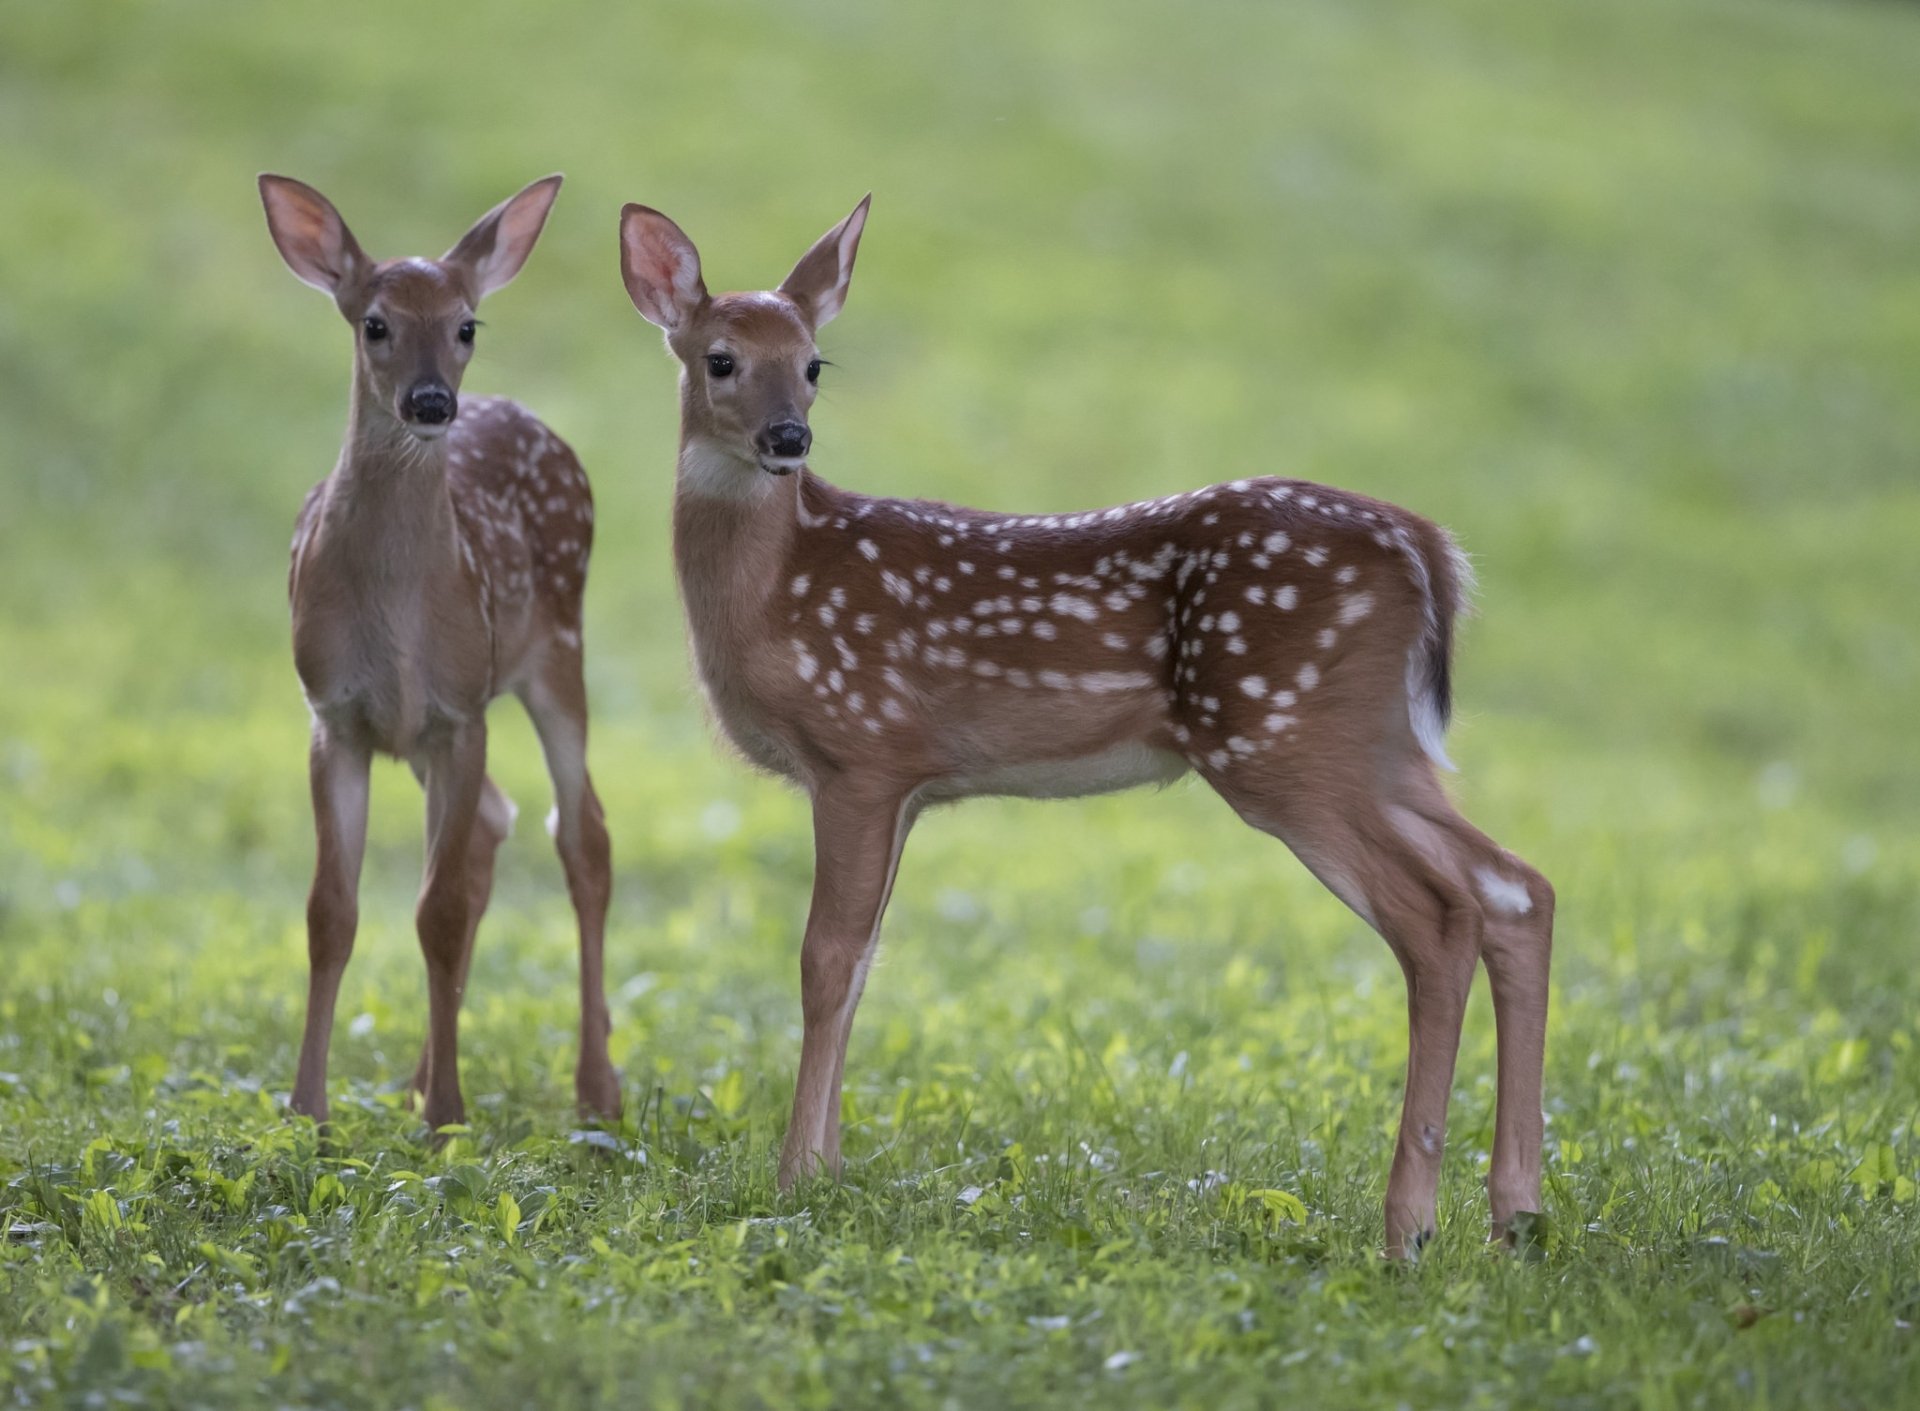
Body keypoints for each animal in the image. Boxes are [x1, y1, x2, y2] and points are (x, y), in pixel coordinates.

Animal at [259, 173, 618, 1135]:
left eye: (466, 325)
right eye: (374, 323)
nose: (430, 403)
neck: (394, 606)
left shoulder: (461, 709)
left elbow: (440, 911)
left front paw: (449, 1115)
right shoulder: (335, 715)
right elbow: (331, 911)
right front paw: (308, 1109)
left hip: (557, 652)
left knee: (583, 836)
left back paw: (596, 1085)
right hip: (425, 735)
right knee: (494, 823)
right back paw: (420, 1073)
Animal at [616, 195, 1554, 1258]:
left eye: (815, 363)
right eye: (720, 358)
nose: (788, 439)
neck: (776, 590)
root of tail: (1430, 548)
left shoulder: (860, 749)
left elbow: (824, 958)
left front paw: (794, 1179)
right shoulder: (907, 784)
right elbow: (864, 961)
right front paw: (830, 1169)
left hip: (1282, 737)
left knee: (1437, 919)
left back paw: (1407, 1228)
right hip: (1381, 745)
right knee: (1515, 887)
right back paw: (1516, 1212)